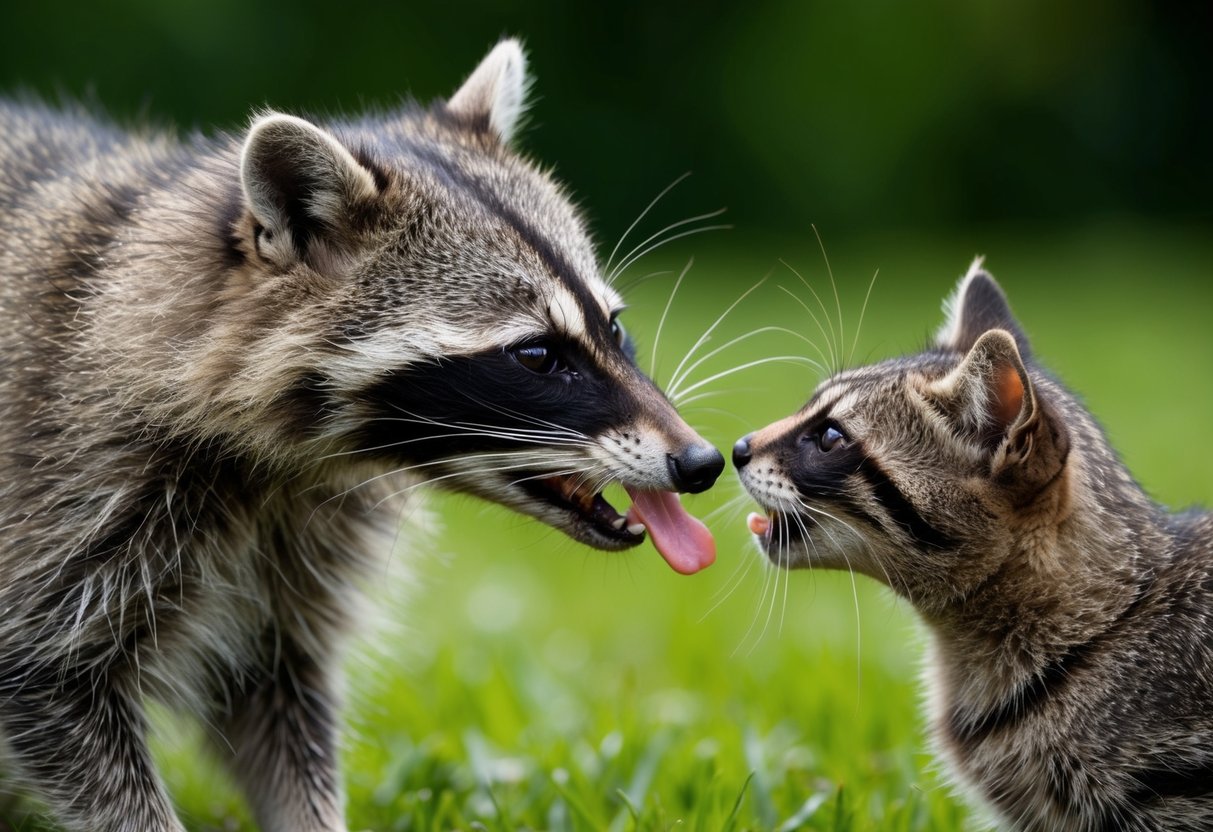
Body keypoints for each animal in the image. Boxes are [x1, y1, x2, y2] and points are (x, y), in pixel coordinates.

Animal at [0, 40, 723, 832]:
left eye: (612, 327)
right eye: (536, 354)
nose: (702, 462)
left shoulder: (293, 571)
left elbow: (284, 709)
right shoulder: (63, 488)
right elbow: (51, 686)